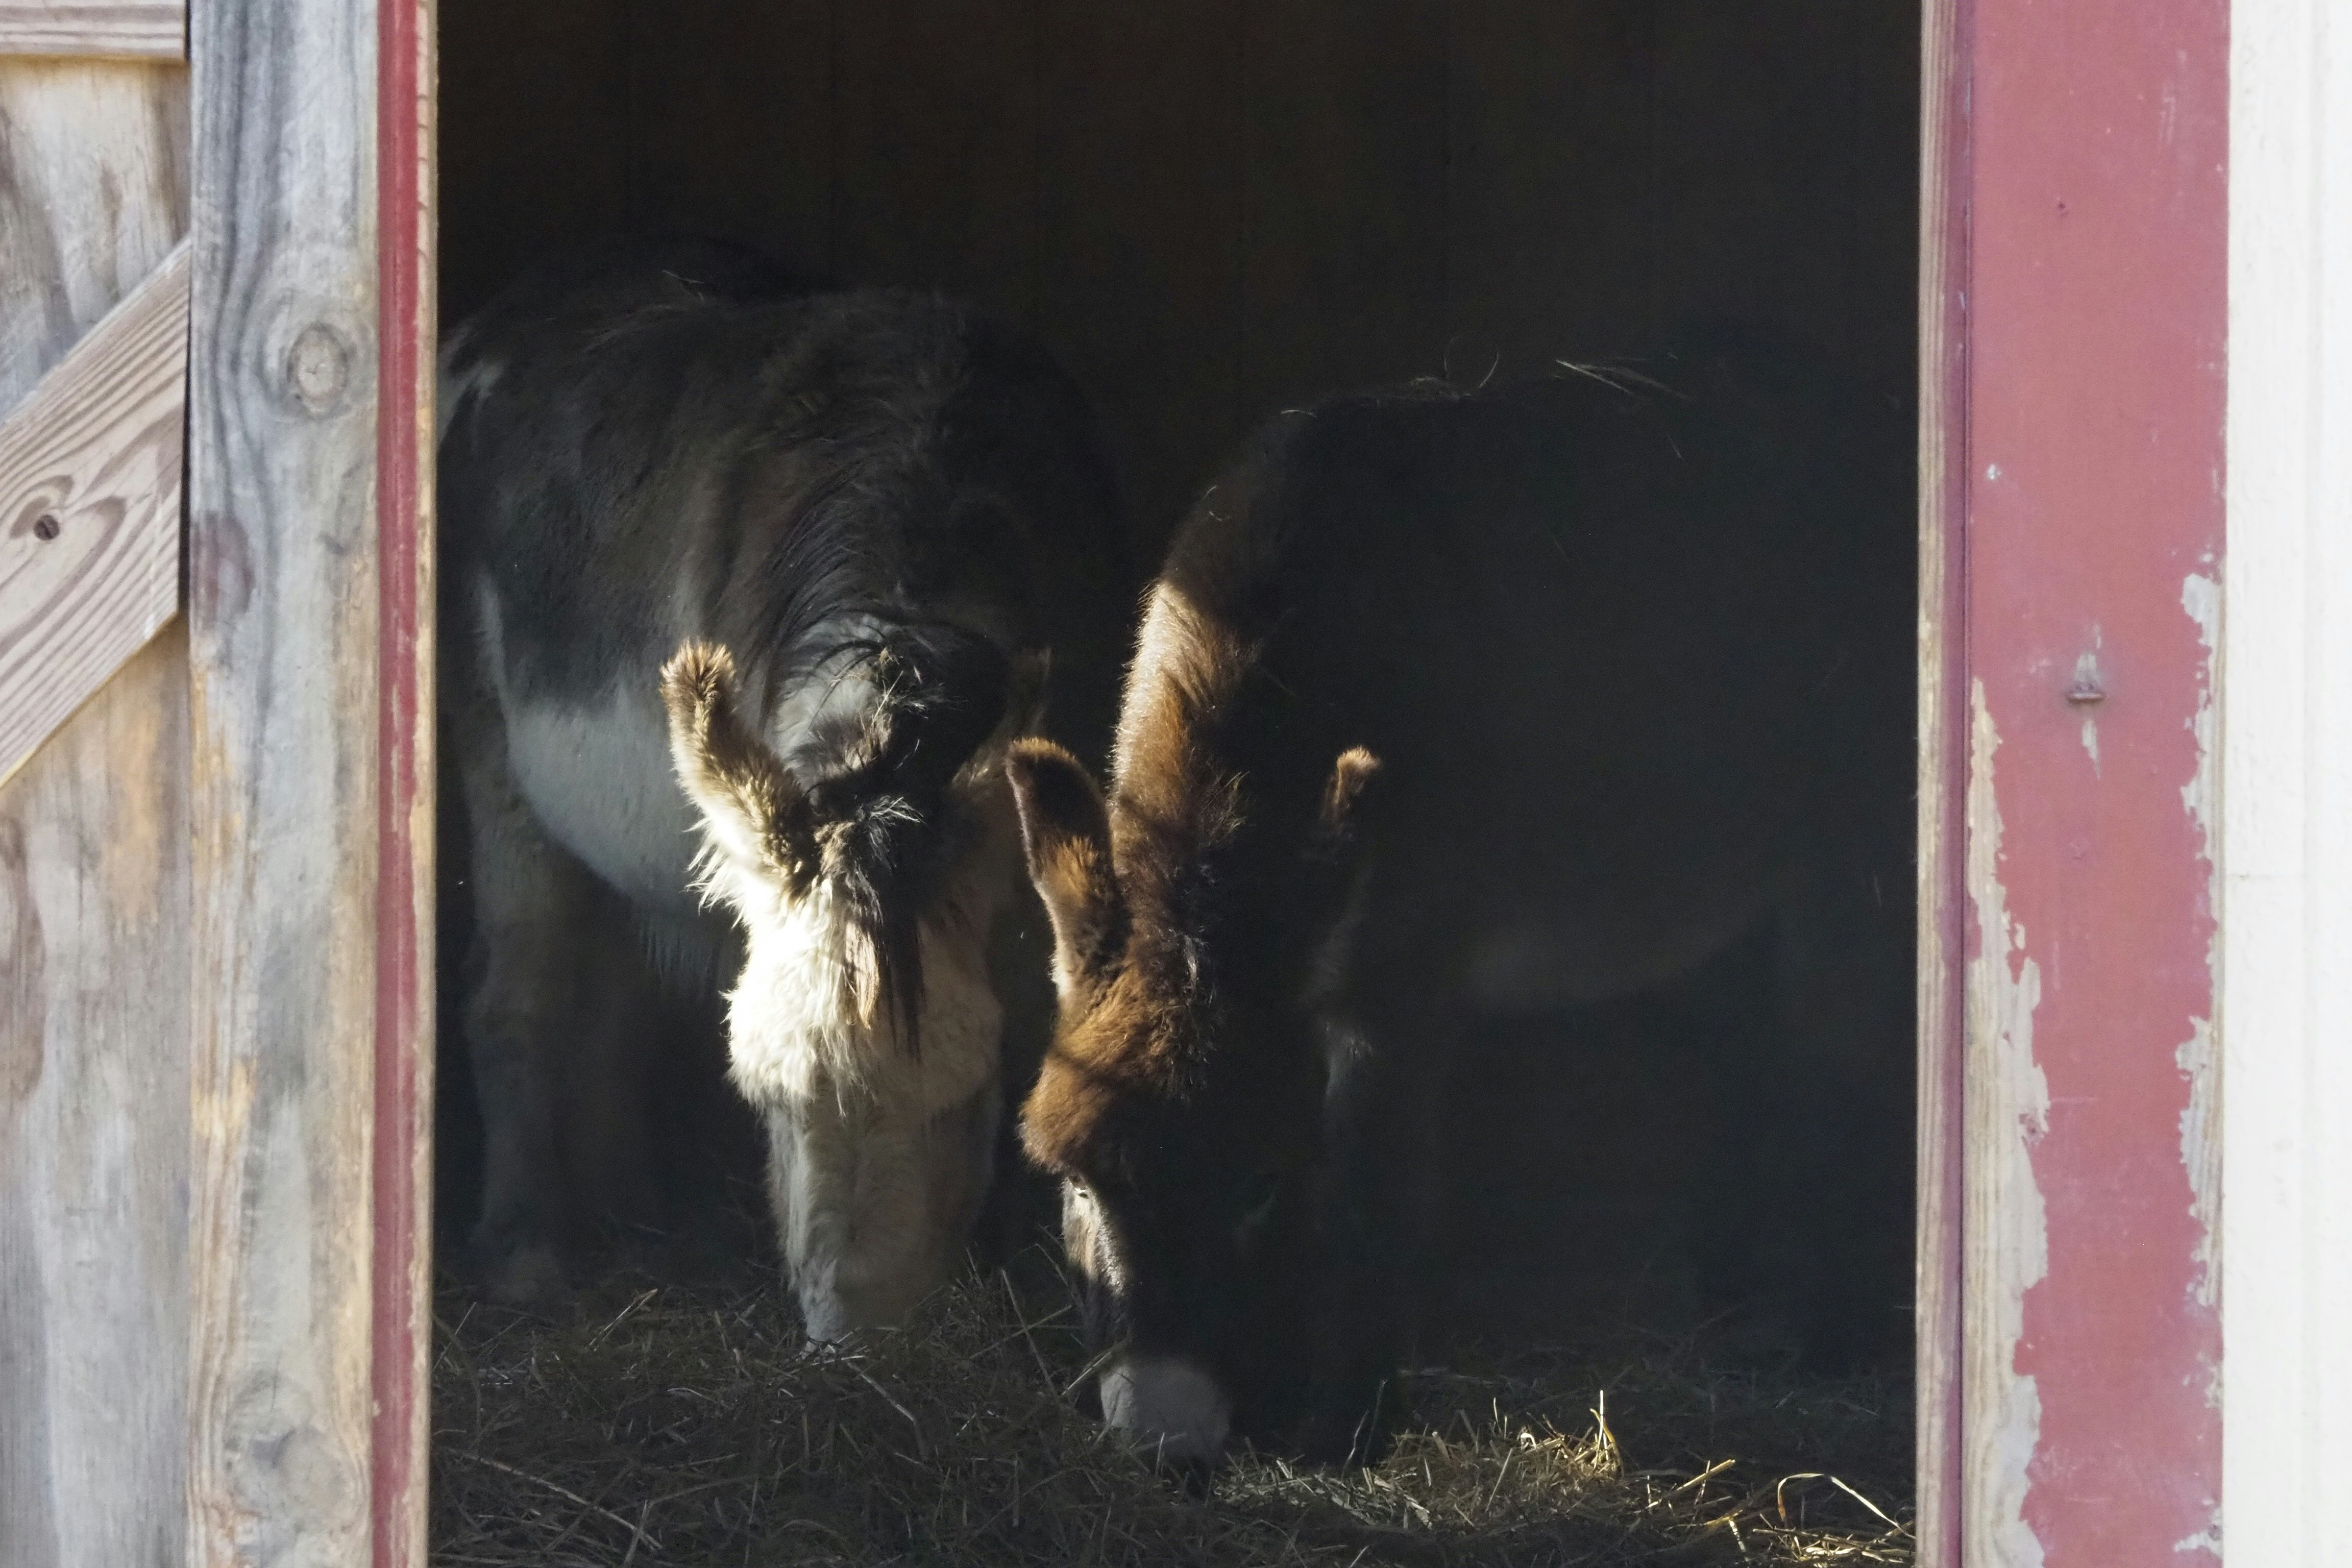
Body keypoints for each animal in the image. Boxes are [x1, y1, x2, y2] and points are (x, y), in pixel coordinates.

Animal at [437, 240, 1132, 1340]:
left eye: (968, 1095)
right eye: (764, 1098)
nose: (859, 1339)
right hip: (495, 759)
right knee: (518, 992)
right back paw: (526, 1255)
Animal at [1003, 344, 1914, 1468]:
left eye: (1260, 1184)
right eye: (1079, 1182)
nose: (1166, 1442)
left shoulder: (1400, 976)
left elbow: (1372, 1196)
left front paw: (1346, 1432)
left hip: (1848, 854)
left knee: (1841, 1065)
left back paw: (1838, 1342)